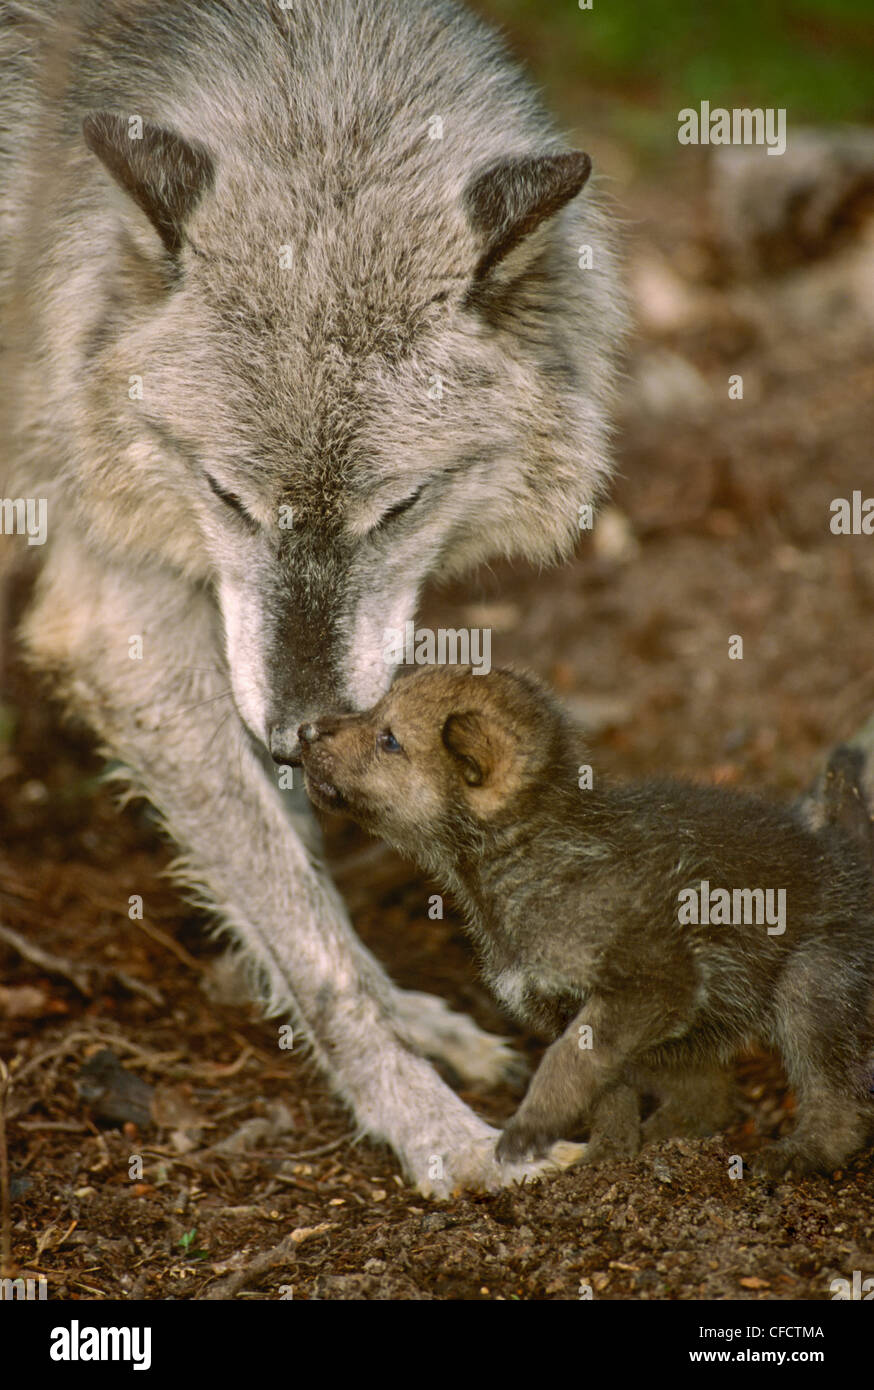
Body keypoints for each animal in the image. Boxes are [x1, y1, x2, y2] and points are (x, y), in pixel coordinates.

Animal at [0, 0, 626, 1194]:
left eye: (399, 507)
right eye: (225, 495)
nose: (299, 730)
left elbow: (299, 874)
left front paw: (412, 1021)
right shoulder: (117, 620)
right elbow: (304, 935)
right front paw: (434, 1132)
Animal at [296, 666, 874, 1177]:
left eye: (389, 739)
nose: (303, 730)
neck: (529, 856)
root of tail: (849, 852)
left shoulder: (650, 983)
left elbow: (566, 1065)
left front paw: (530, 1131)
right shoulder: (576, 1006)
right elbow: (604, 1092)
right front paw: (605, 1160)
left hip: (811, 986)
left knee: (838, 1103)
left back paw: (800, 1154)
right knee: (711, 1099)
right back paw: (660, 1141)